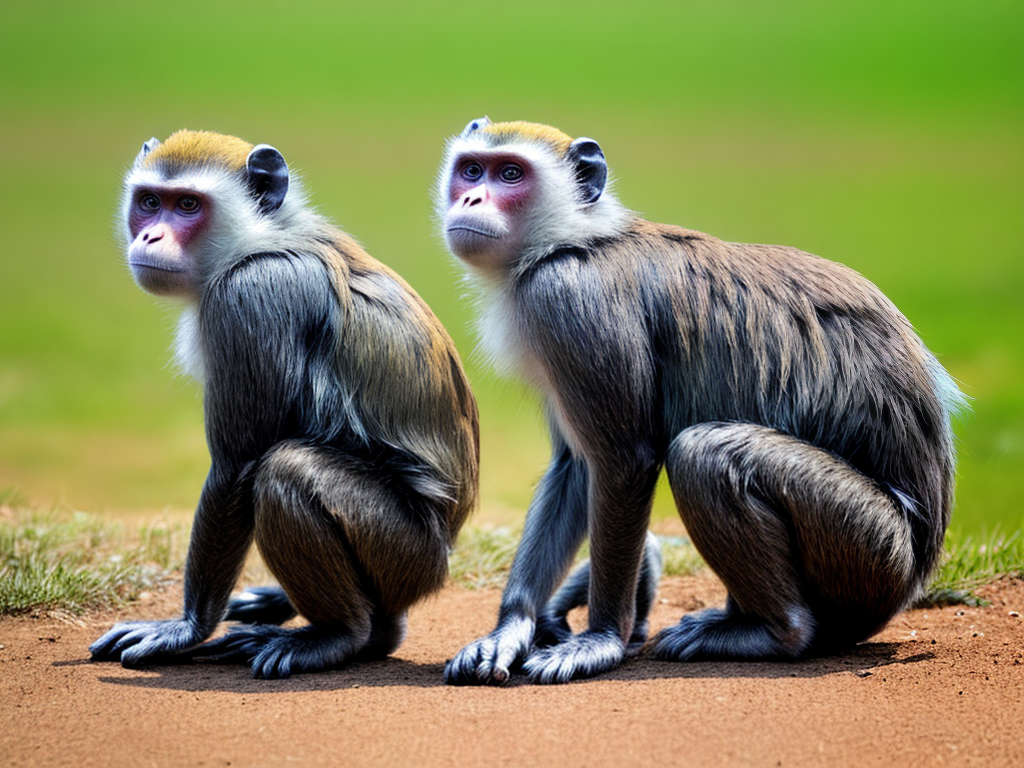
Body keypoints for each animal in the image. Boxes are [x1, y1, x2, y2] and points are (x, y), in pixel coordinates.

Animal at [89, 130, 479, 679]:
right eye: (149, 202)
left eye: (187, 205)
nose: (149, 238)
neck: (258, 237)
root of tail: (445, 548)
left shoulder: (250, 293)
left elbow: (238, 465)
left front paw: (187, 628)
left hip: (406, 556)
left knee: (284, 470)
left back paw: (340, 635)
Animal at [436, 117, 964, 685]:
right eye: (472, 169)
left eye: (510, 174)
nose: (469, 198)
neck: (574, 240)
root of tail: (915, 568)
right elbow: (576, 466)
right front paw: (511, 627)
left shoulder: (569, 301)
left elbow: (624, 460)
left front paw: (601, 639)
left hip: (872, 554)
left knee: (704, 453)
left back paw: (777, 632)